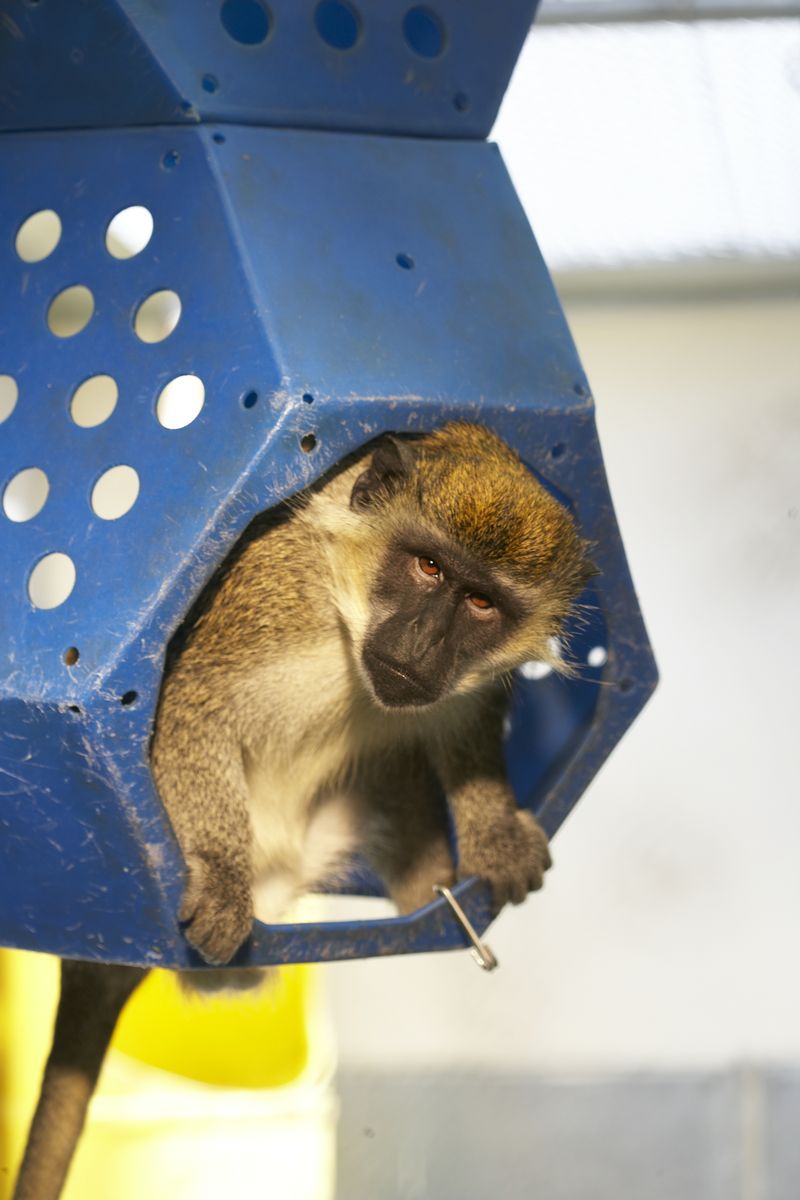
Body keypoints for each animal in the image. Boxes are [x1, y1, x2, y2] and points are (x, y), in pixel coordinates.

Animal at [11, 422, 594, 1200]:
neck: (343, 619)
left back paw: (428, 886)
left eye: (481, 603)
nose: (422, 644)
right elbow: (187, 708)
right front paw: (221, 876)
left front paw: (494, 831)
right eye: (428, 568)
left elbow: (461, 725)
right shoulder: (270, 598)